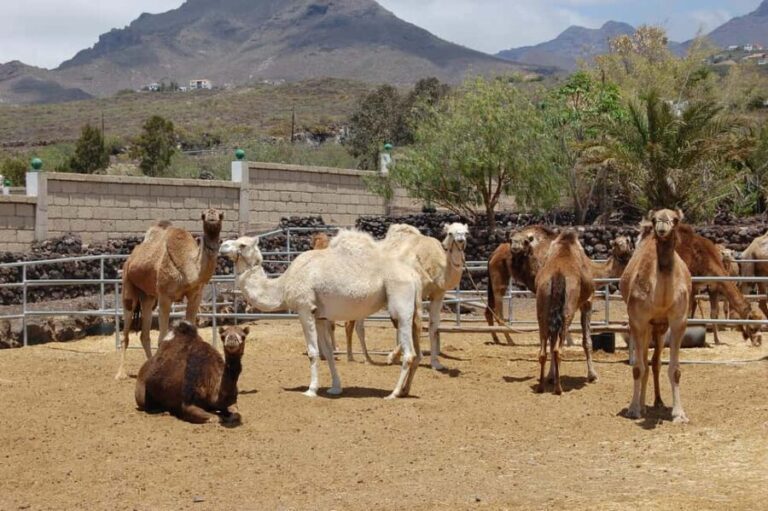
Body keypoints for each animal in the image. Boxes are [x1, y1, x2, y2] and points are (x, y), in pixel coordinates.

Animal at [115, 209, 223, 380]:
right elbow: (162, 339)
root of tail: (130, 259)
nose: (212, 215)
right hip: (128, 285)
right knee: (126, 332)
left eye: (221, 215)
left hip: (148, 296)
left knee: (144, 333)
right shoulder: (165, 296)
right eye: (203, 215)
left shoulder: (195, 296)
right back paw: (121, 374)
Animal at [220, 231, 423, 398]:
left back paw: (393, 393)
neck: (283, 284)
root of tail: (414, 275)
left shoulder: (305, 308)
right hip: (412, 312)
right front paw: (335, 388)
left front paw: (311, 390)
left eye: (242, 244)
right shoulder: (320, 316)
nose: (222, 245)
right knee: (417, 352)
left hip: (400, 306)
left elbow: (312, 351)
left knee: (409, 353)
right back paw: (405, 390)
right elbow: (328, 352)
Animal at [534, 230, 598, 394]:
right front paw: (592, 375)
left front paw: (550, 376)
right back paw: (558, 388)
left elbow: (551, 343)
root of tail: (558, 274)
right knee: (558, 350)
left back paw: (541, 386)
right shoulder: (587, 302)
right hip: (568, 311)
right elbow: (587, 341)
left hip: (542, 309)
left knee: (544, 351)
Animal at [620, 209, 692, 423]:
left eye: (675, 220)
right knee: (644, 361)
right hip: (647, 327)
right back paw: (642, 405)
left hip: (660, 328)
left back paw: (658, 402)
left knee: (655, 362)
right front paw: (634, 409)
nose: (661, 228)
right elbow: (637, 368)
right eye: (654, 219)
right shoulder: (637, 321)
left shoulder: (678, 322)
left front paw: (679, 413)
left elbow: (675, 370)